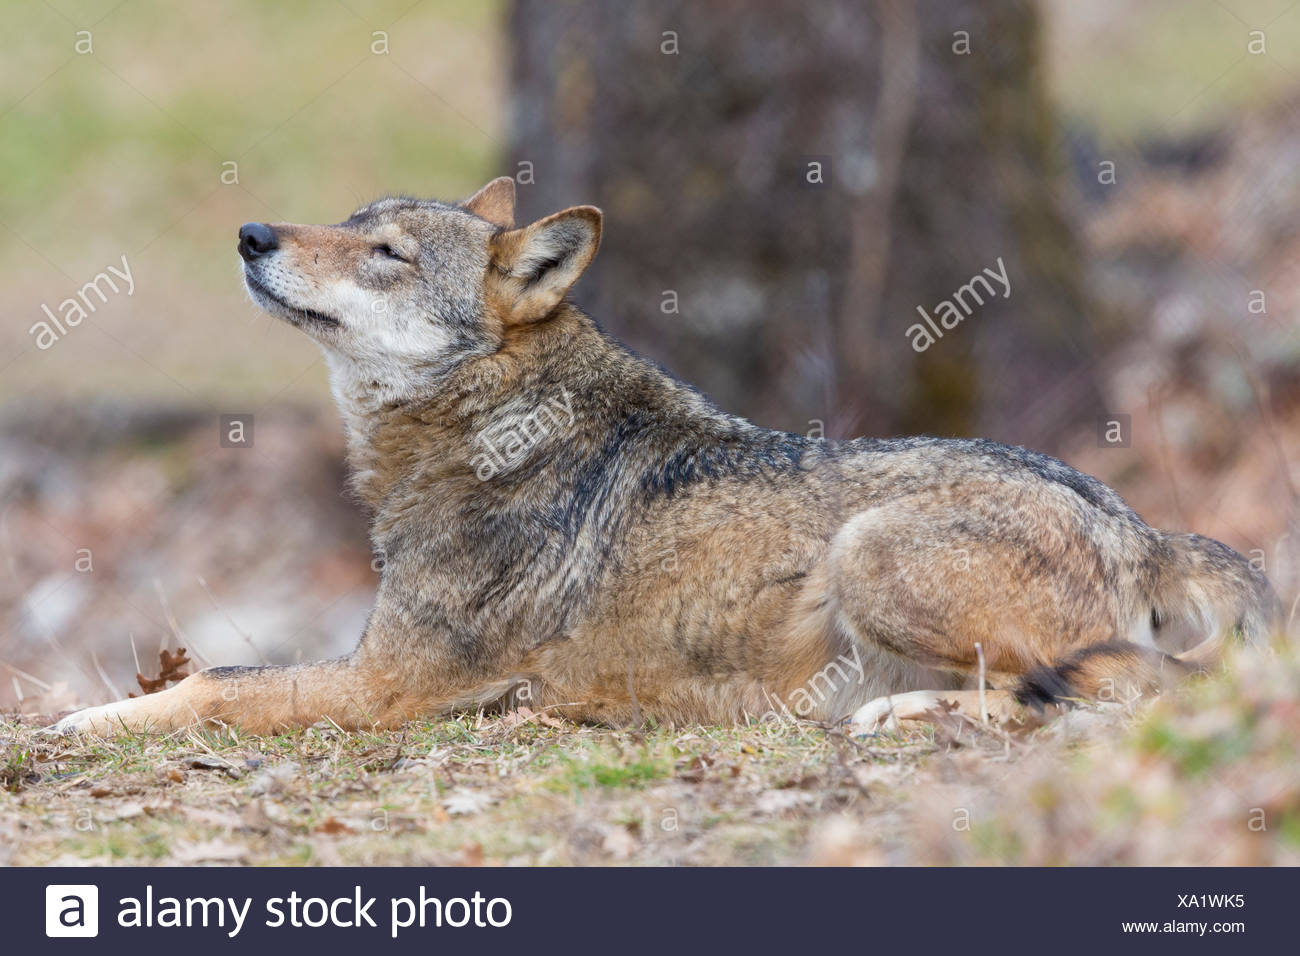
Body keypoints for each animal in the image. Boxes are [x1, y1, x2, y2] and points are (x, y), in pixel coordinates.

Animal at [51, 177, 1280, 736]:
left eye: (385, 253)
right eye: (349, 223)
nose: (253, 234)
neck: (493, 427)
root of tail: (1137, 523)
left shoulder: (385, 682)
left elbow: (217, 684)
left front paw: (89, 723)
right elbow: (224, 674)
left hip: (867, 551)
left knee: (1122, 689)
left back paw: (904, 720)